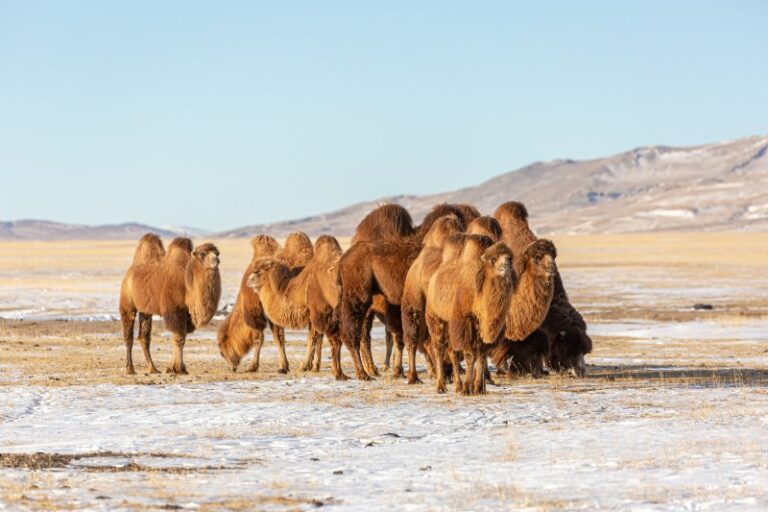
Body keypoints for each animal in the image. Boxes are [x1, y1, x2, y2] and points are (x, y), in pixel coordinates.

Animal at [119, 235, 221, 375]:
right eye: (202, 254)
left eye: (217, 253)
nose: (216, 260)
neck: (187, 285)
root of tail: (129, 273)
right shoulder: (175, 310)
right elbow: (179, 338)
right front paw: (177, 368)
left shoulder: (187, 314)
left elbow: (181, 338)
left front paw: (174, 368)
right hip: (128, 304)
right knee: (128, 335)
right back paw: (130, 369)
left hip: (146, 310)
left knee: (144, 337)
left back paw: (153, 369)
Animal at [217, 234, 289, 373]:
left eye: (222, 353)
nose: (232, 368)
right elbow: (279, 338)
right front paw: (284, 366)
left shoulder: (255, 312)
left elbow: (259, 339)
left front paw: (252, 366)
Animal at [425, 239, 515, 394]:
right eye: (493, 259)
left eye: (510, 258)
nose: (506, 266)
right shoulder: (466, 321)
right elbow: (470, 355)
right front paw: (468, 388)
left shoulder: (481, 326)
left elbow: (482, 355)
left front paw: (478, 388)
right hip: (436, 318)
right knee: (439, 347)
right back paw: (441, 386)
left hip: (450, 324)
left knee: (452, 352)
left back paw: (457, 386)